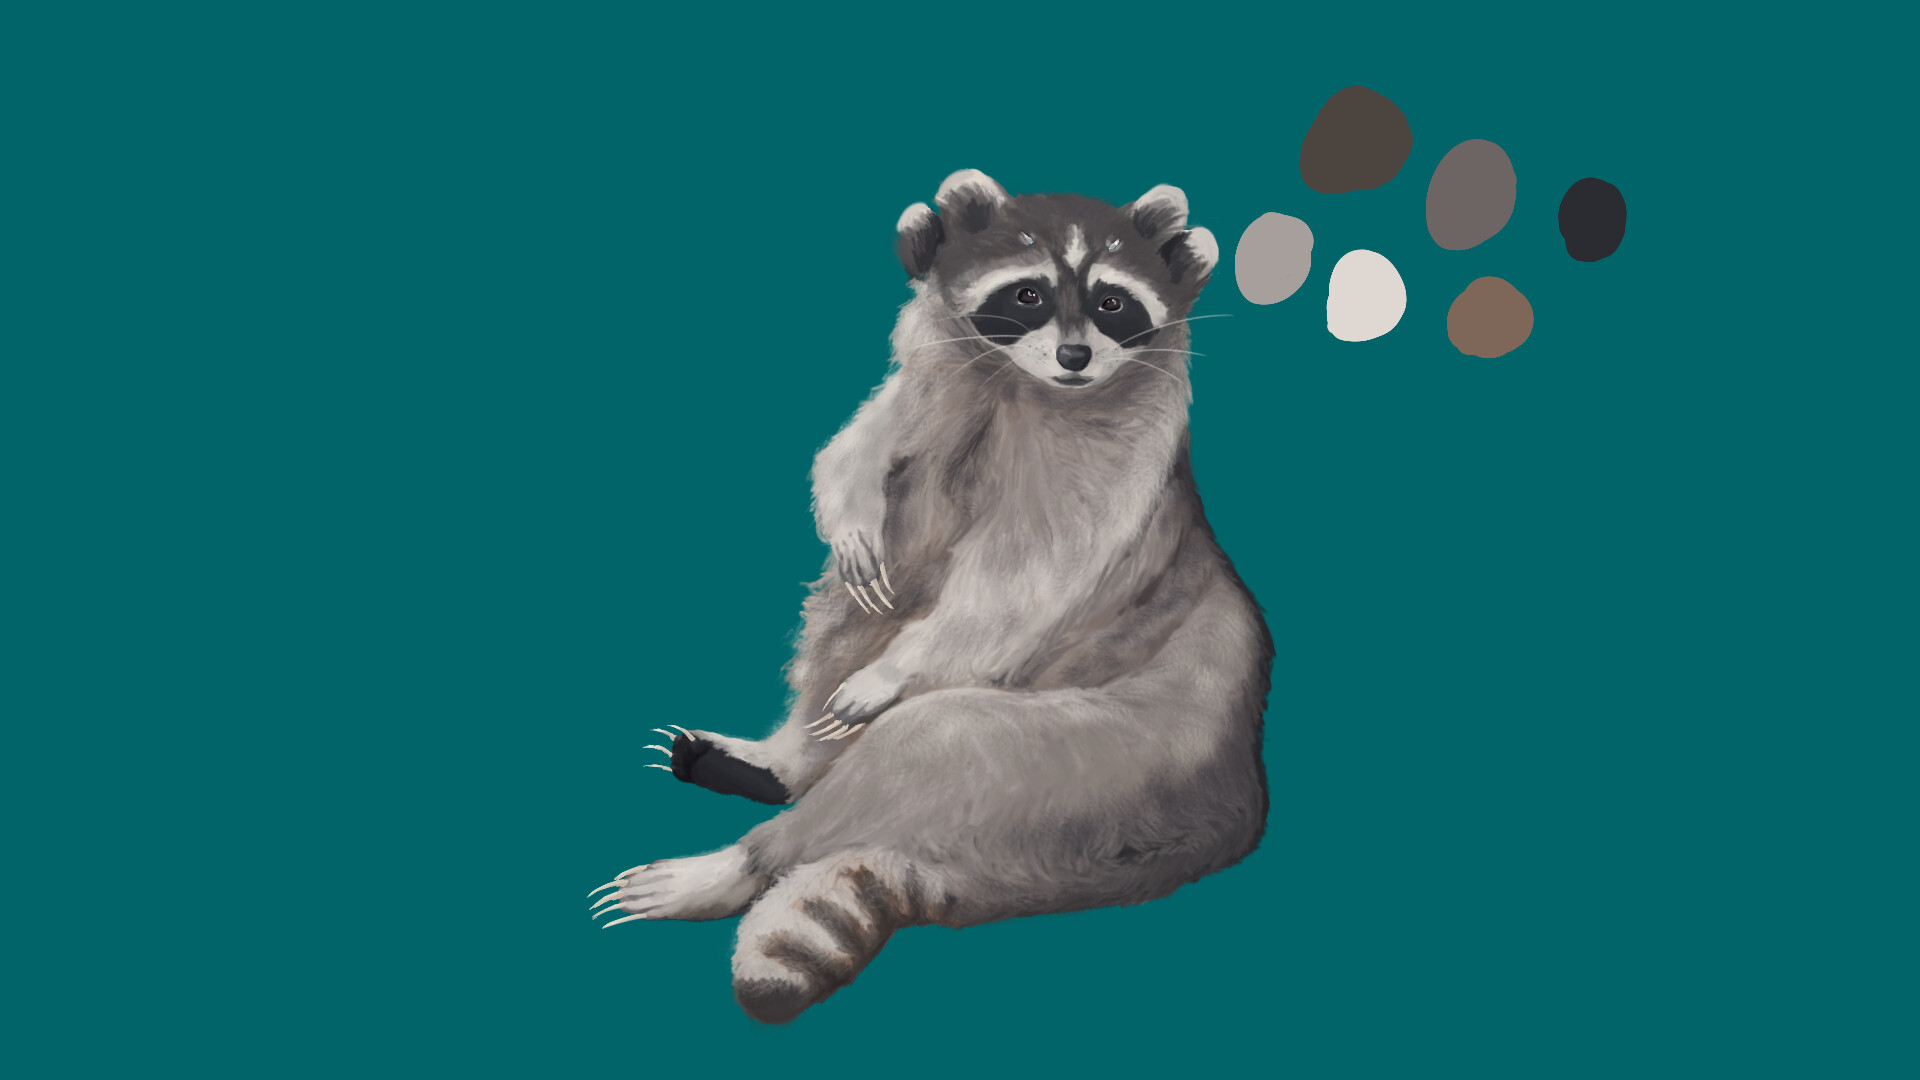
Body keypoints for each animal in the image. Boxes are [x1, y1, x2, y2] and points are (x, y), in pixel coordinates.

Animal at [590, 170, 1273, 1024]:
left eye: (1113, 301)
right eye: (1028, 294)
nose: (1077, 355)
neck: (1015, 380)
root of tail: (1230, 808)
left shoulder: (1113, 474)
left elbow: (1019, 579)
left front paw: (887, 674)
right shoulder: (922, 394)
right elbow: (855, 454)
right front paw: (851, 511)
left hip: (1097, 758)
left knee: (921, 745)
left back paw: (742, 861)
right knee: (864, 588)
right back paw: (784, 760)